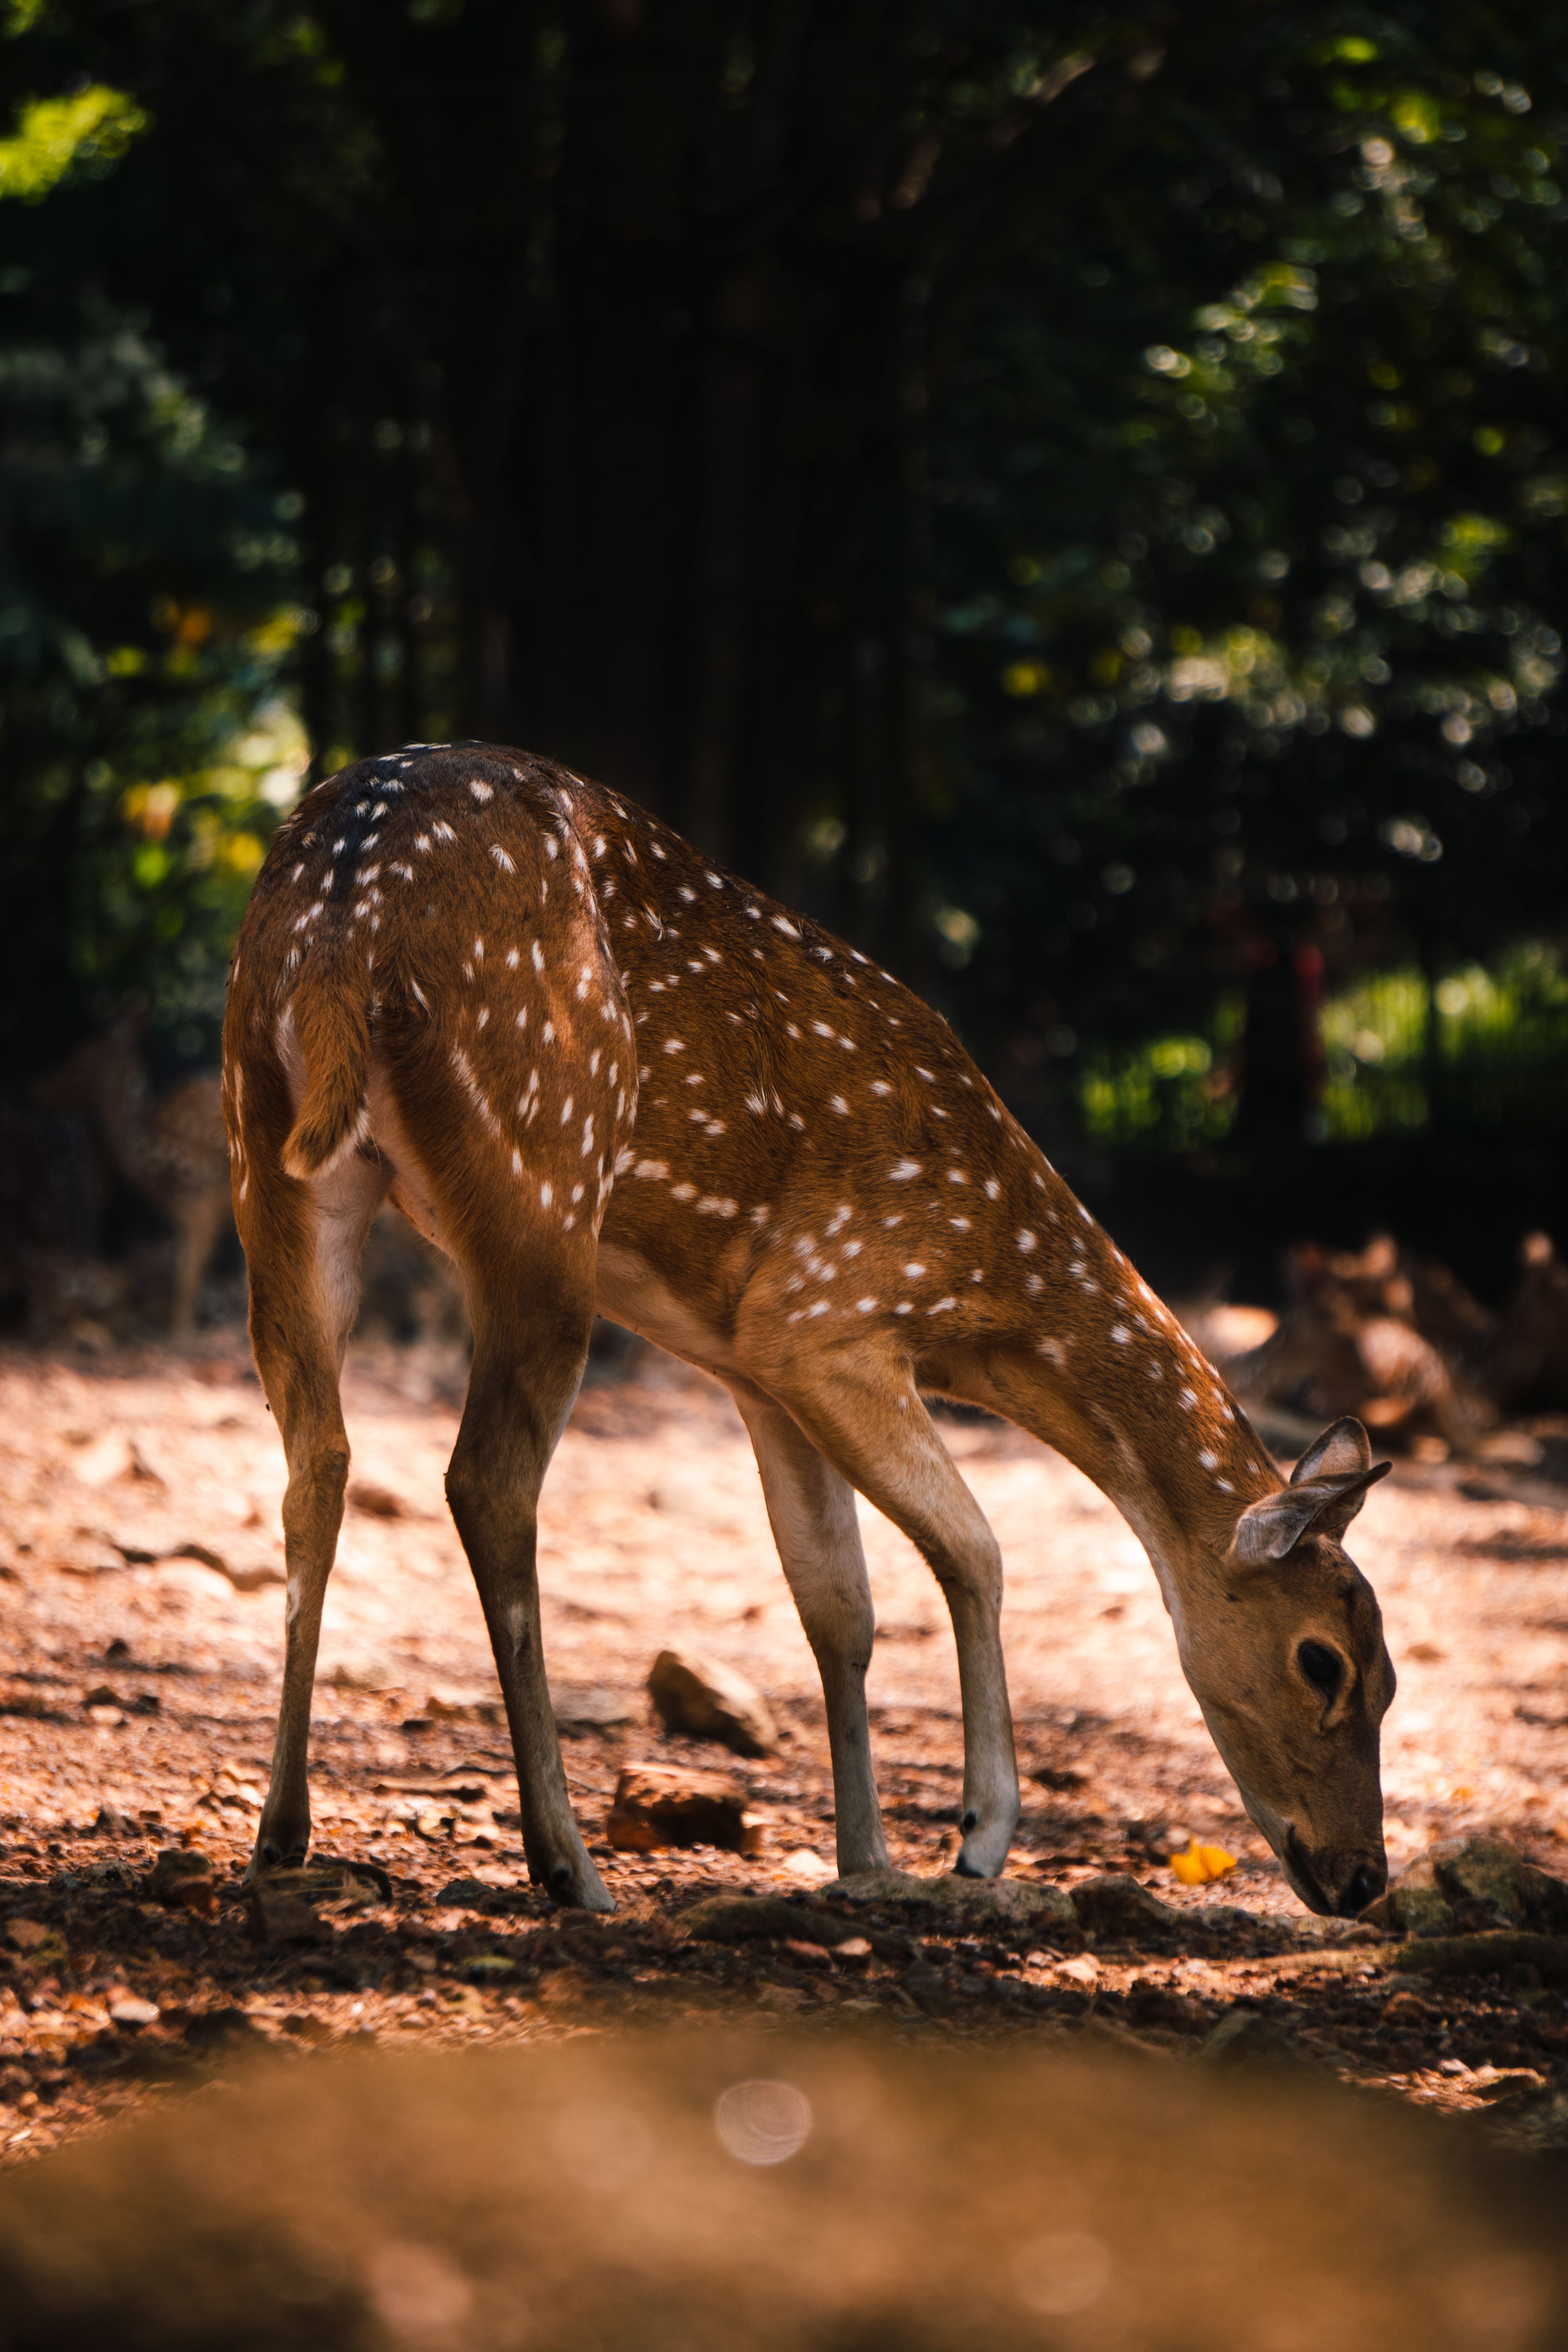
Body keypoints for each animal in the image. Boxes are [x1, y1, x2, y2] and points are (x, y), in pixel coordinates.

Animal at [223, 742, 1397, 1918]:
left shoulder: (753, 1369)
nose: (1363, 1877)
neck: (987, 1288)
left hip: (269, 1145)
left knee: (317, 1465)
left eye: (1391, 1678)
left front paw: (867, 1858)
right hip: (544, 1175)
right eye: (1324, 1661)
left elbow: (840, 1604)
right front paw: (977, 1837)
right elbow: (974, 1545)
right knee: (485, 1481)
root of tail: (346, 917)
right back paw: (568, 1862)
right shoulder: (822, 1317)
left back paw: (283, 1832)